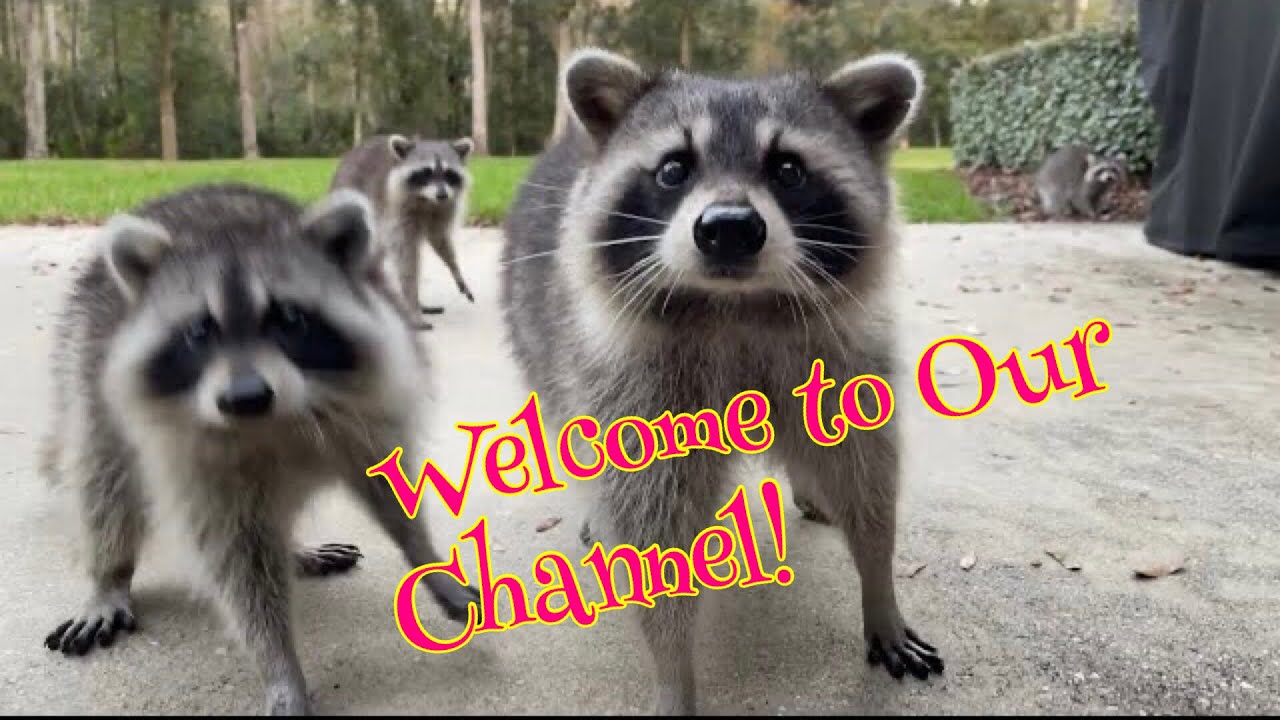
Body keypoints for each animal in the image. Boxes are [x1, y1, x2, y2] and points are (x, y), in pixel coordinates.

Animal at [38, 183, 479, 715]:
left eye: (288, 318)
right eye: (199, 331)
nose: (244, 397)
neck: (273, 421)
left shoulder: (369, 405)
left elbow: (393, 493)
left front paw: (425, 557)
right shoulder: (191, 459)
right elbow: (239, 564)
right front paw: (279, 664)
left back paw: (293, 549)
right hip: (86, 369)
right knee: (105, 479)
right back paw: (110, 576)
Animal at [330, 134, 476, 330]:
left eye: (449, 174)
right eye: (426, 172)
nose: (442, 194)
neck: (426, 200)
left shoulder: (443, 210)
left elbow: (439, 239)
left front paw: (454, 266)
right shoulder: (396, 212)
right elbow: (406, 262)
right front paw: (412, 305)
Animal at [499, 49, 944, 714]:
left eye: (789, 169)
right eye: (672, 170)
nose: (729, 227)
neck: (734, 306)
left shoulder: (839, 354)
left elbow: (862, 470)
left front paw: (879, 586)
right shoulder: (635, 386)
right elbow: (652, 527)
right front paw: (673, 671)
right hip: (537, 334)